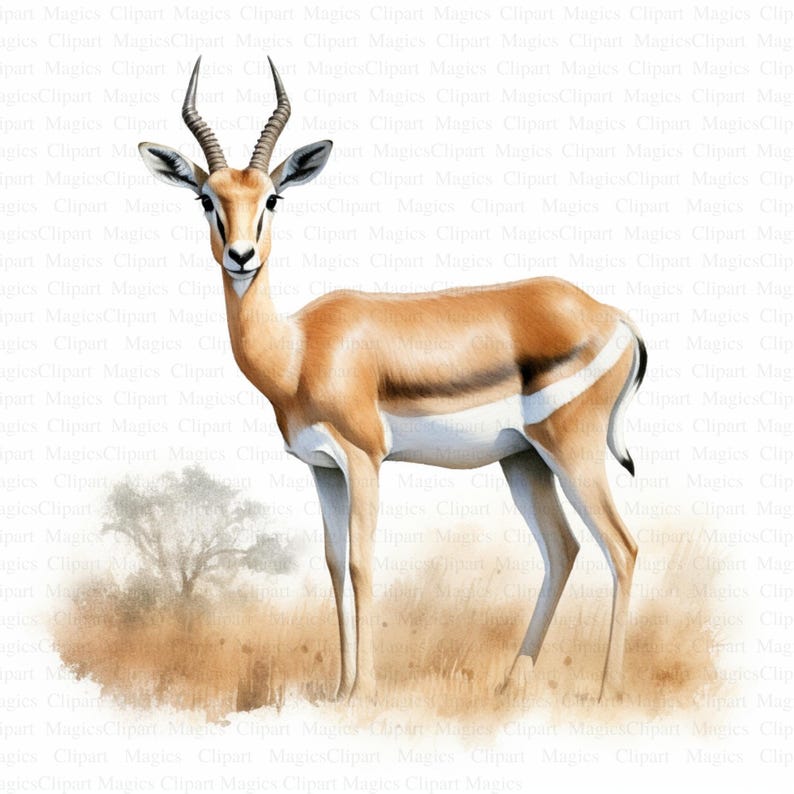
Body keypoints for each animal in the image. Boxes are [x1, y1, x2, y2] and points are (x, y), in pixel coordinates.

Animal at [139, 57, 647, 702]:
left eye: (272, 198)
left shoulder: (364, 459)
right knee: (563, 548)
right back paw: (511, 684)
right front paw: (339, 689)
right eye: (207, 198)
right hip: (524, 460)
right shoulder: (324, 470)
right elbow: (334, 563)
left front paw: (365, 691)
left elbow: (363, 563)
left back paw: (608, 693)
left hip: (572, 450)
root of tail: (613, 315)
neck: (299, 350)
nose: (242, 255)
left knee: (622, 548)